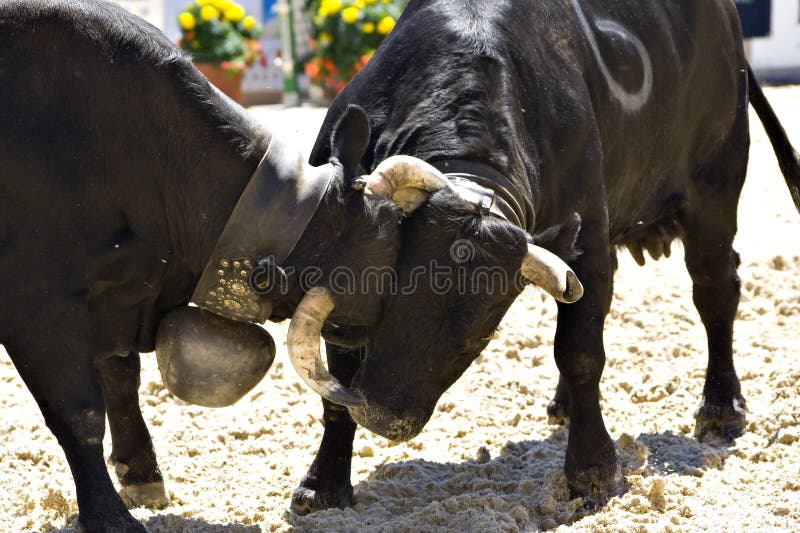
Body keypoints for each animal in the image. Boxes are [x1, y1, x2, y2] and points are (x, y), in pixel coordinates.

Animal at [289, 0, 800, 514]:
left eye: (479, 335)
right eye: (386, 300)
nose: (383, 416)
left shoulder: (590, 240)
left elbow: (580, 351)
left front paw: (593, 472)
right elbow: (336, 379)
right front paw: (323, 484)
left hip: (716, 186)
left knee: (715, 291)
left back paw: (720, 409)